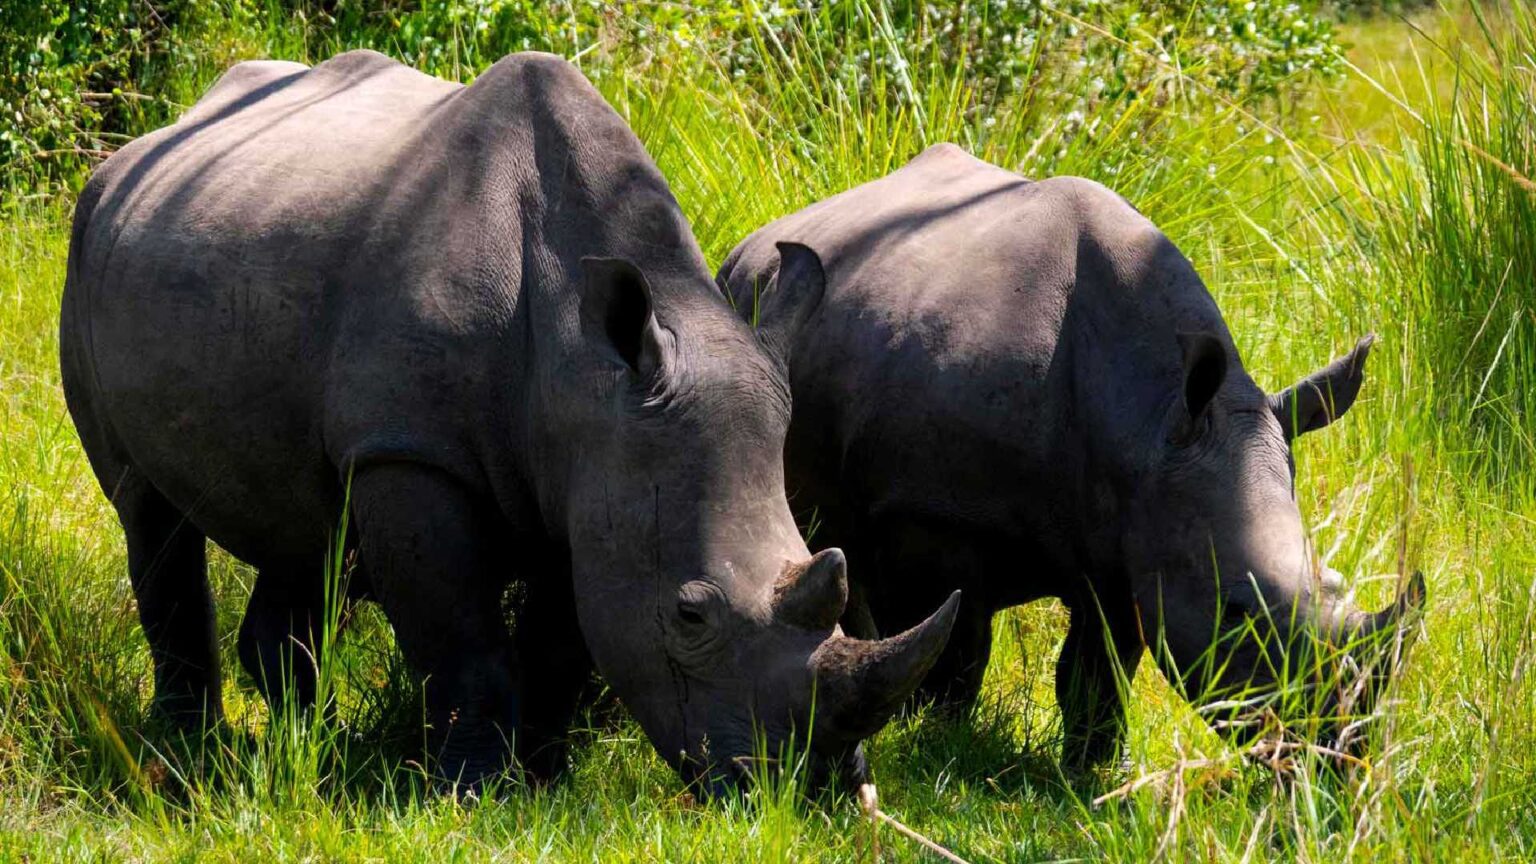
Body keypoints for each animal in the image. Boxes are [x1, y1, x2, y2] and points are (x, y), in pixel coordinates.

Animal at [59, 51, 961, 792]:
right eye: (690, 615)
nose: (819, 787)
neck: (584, 369)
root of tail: (136, 150)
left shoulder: (595, 473)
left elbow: (564, 641)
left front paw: (545, 778)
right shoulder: (412, 453)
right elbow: (464, 643)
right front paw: (475, 794)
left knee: (301, 522)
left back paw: (304, 749)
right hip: (89, 240)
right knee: (150, 514)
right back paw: (188, 755)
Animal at [717, 144, 1425, 770]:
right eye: (1236, 612)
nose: (1339, 753)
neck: (1154, 420)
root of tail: (752, 244)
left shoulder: (1138, 537)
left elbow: (1097, 675)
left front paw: (1089, 777)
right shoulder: (941, 521)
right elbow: (957, 648)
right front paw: (935, 744)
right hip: (751, 300)